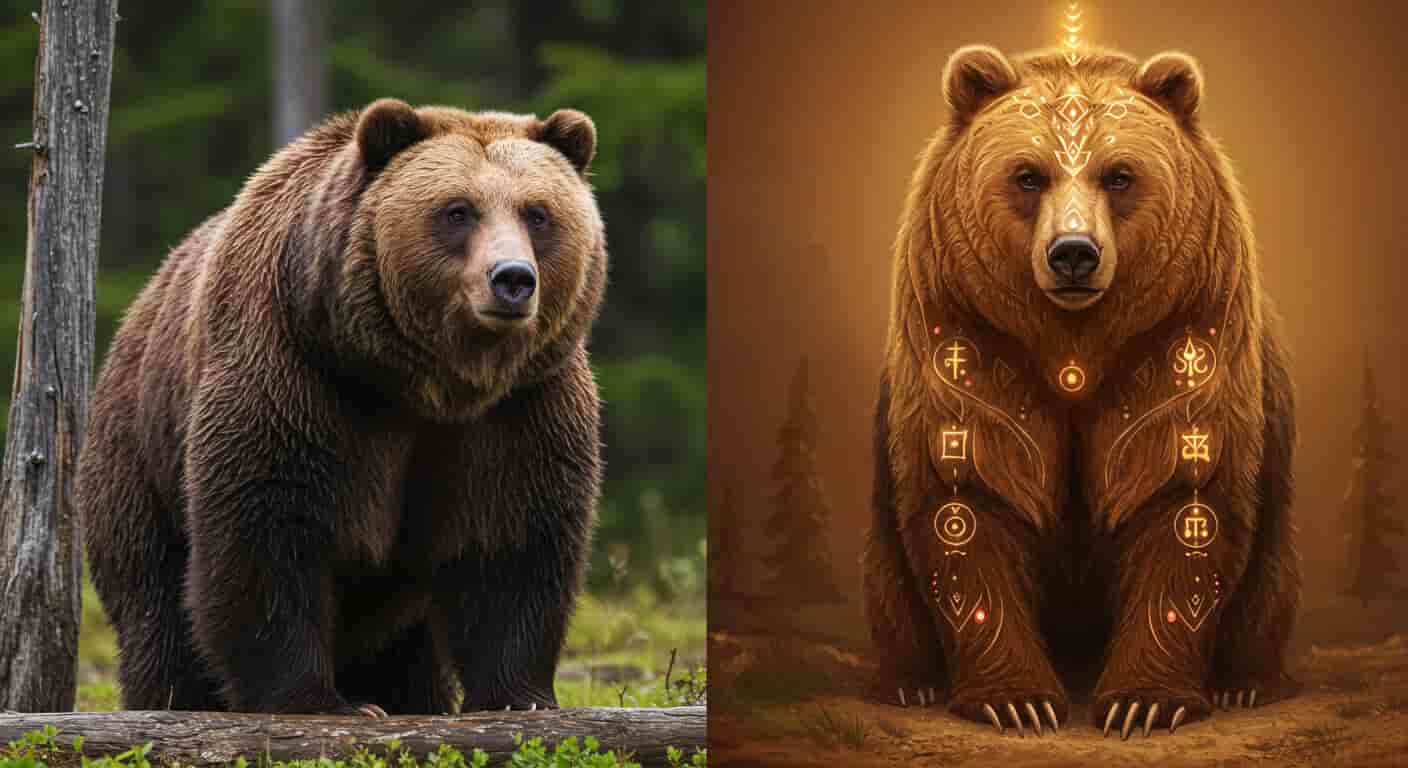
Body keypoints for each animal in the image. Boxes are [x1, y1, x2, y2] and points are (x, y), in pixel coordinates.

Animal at [77, 98, 606, 716]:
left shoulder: (521, 403)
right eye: (457, 211)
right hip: (140, 458)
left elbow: (511, 537)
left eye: (538, 213)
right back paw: (172, 699)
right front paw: (317, 699)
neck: (427, 383)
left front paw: (516, 696)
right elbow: (269, 525)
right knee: (156, 604)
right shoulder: (299, 375)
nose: (513, 279)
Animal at [862, 45, 1299, 739]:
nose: (1074, 252)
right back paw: (908, 682)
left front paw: (1143, 702)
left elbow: (1180, 500)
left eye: (1118, 175)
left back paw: (1246, 684)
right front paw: (1017, 701)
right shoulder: (967, 341)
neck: (1075, 344)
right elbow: (970, 502)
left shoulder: (1181, 341)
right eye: (1028, 175)